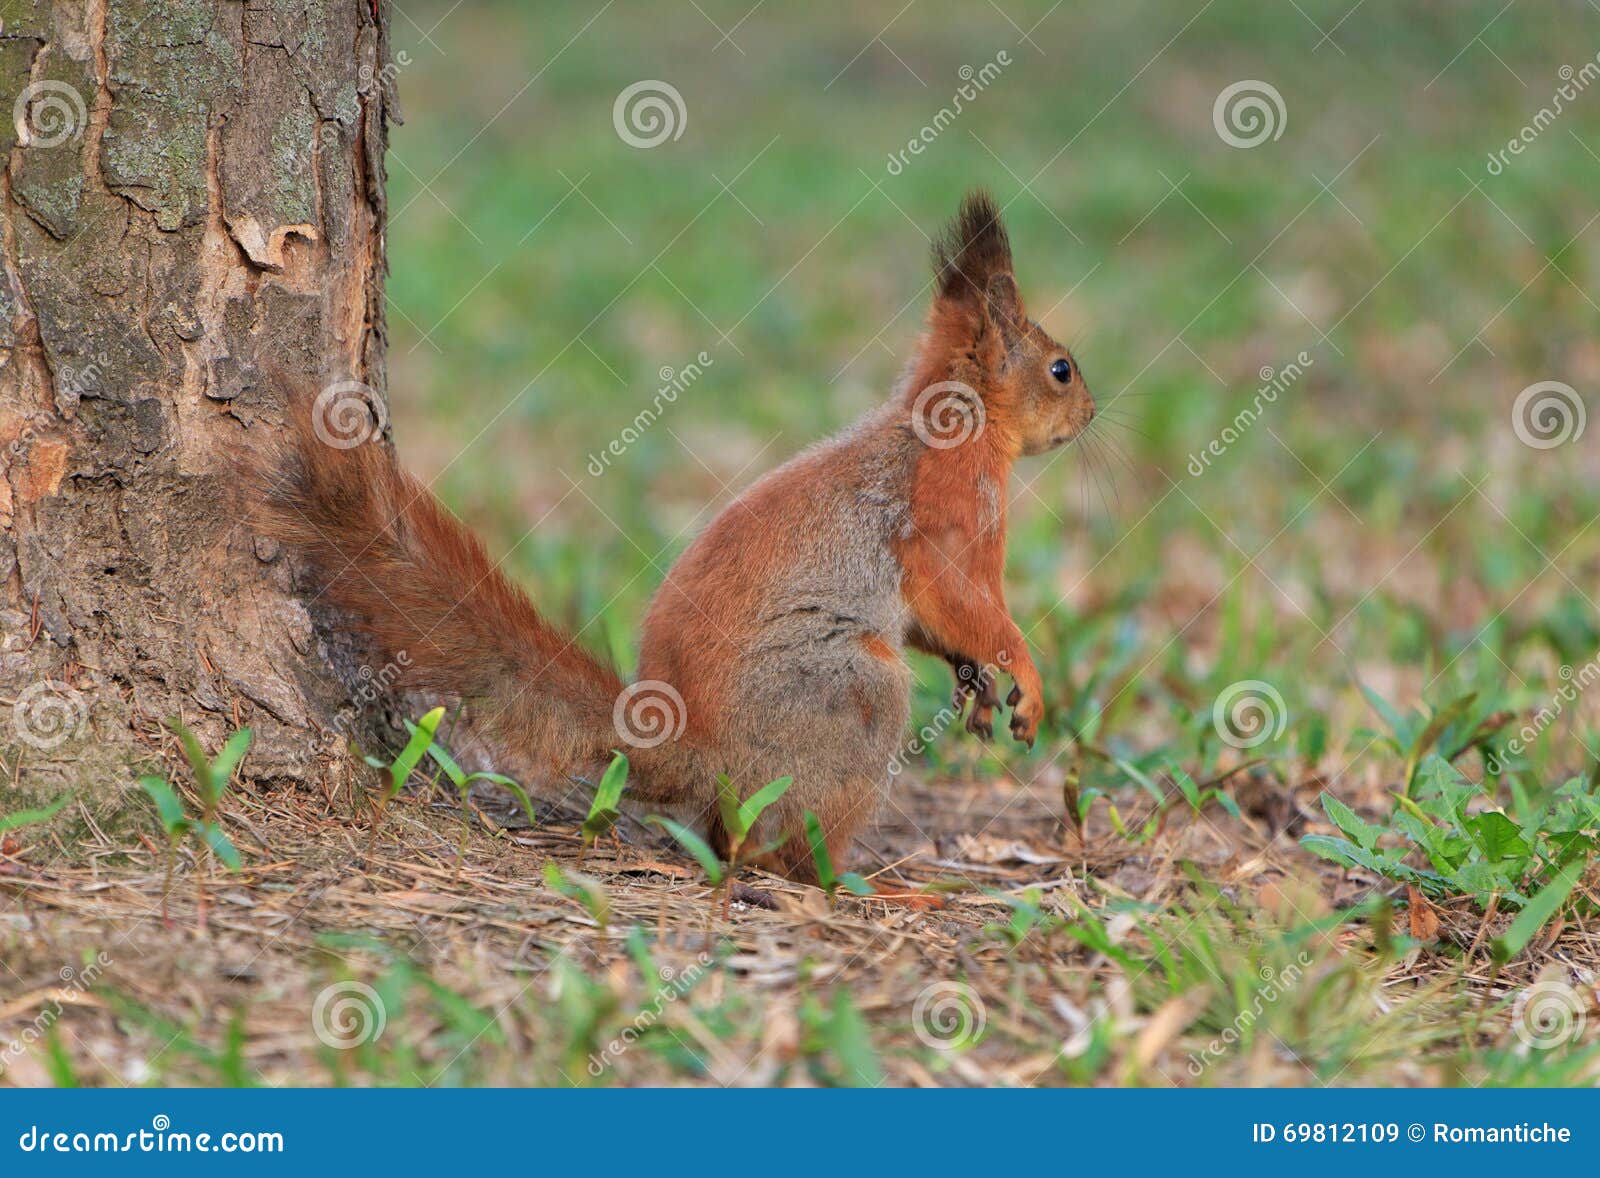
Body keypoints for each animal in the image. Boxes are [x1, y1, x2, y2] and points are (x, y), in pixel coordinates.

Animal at [255, 190, 1094, 882]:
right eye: (1061, 369)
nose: (1092, 415)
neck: (957, 424)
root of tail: (692, 748)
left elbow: (945, 627)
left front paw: (976, 686)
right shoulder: (952, 512)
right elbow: (964, 602)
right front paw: (1026, 678)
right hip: (853, 691)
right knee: (774, 850)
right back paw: (853, 880)